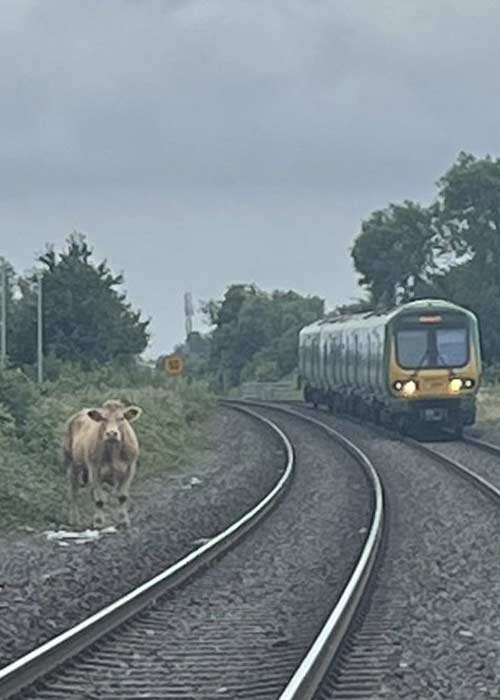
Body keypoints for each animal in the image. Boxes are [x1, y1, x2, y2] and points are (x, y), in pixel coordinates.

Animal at [63, 399, 142, 529]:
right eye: (103, 419)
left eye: (121, 418)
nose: (111, 433)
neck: (114, 451)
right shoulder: (95, 471)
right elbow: (99, 500)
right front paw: (99, 522)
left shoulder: (130, 470)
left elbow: (122, 497)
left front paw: (123, 520)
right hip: (71, 464)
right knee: (73, 493)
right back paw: (74, 520)